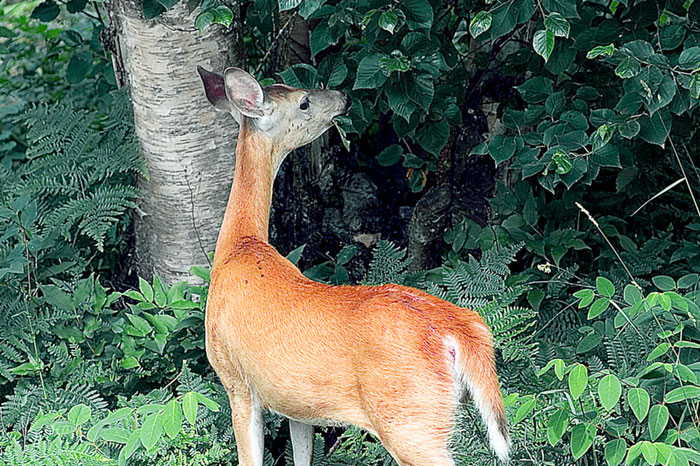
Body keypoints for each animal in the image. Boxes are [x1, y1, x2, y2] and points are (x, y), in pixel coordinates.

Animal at [197, 65, 510, 466]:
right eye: (304, 101)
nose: (344, 98)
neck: (239, 246)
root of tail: (457, 326)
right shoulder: (295, 406)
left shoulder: (235, 381)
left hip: (410, 419)